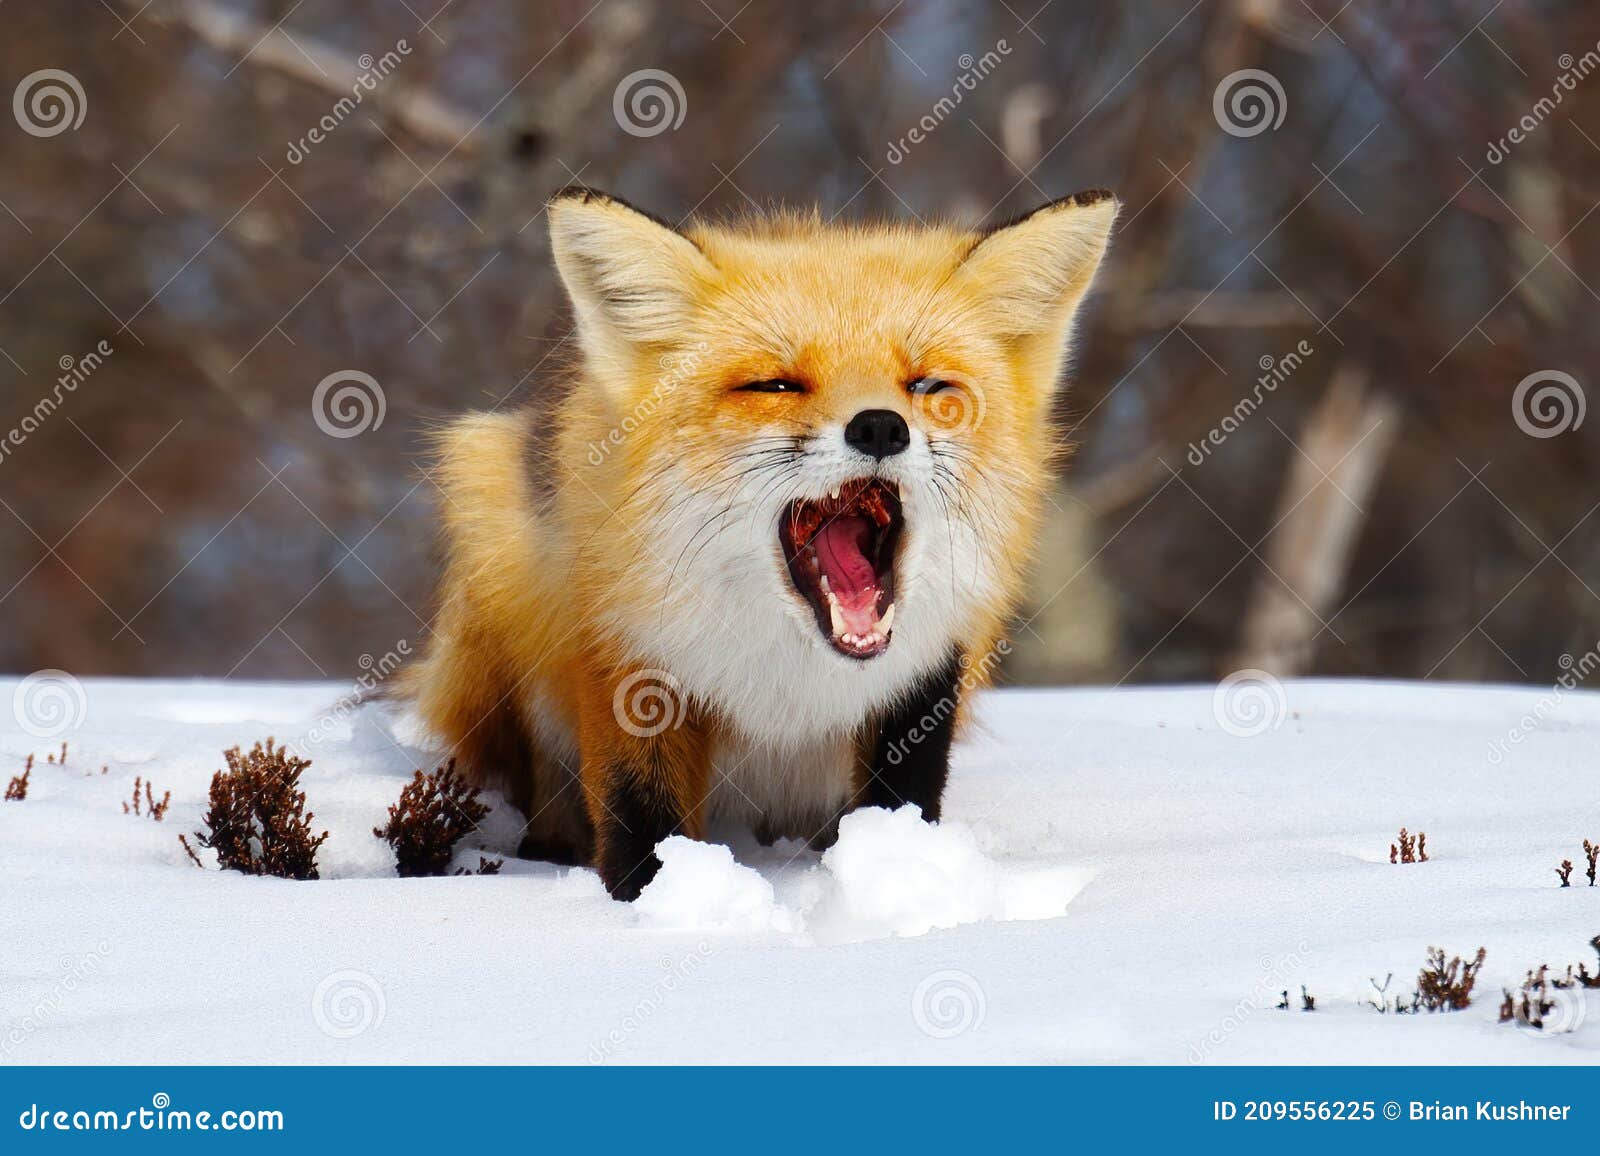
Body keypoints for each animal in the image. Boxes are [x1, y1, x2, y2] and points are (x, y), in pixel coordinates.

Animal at [398, 185, 1117, 900]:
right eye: (776, 385)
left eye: (927, 384)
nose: (880, 427)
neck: (790, 677)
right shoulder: (626, 655)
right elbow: (642, 816)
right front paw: (663, 900)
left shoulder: (924, 673)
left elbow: (902, 799)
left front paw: (899, 873)